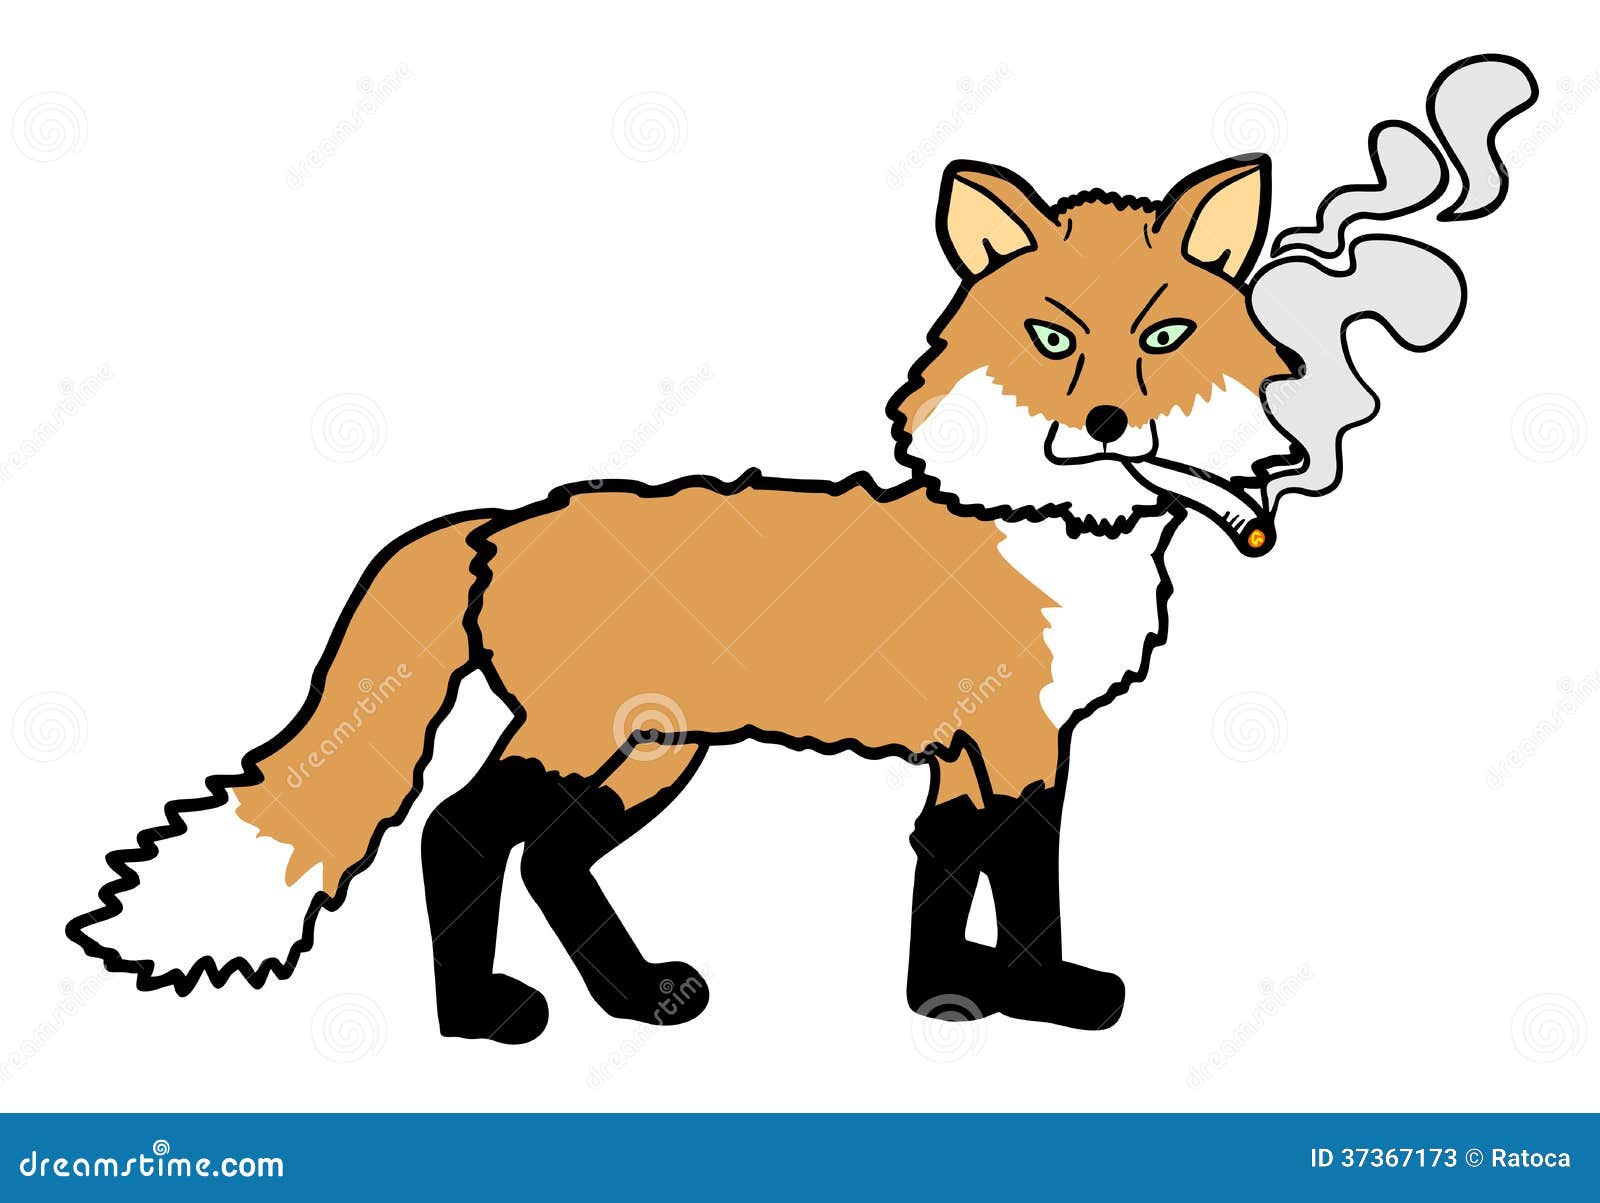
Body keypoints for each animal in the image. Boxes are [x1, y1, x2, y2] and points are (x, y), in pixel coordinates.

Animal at [69, 153, 1305, 1043]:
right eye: (1052, 338)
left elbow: (942, 861)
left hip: (654, 753)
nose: (1106, 423)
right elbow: (1027, 874)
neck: (1041, 530)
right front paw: (1046, 994)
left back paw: (634, 997)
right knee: (458, 832)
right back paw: (480, 1019)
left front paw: (944, 996)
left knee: (549, 859)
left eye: (1165, 336)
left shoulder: (973, 745)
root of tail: (497, 522)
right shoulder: (1015, 734)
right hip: (580, 738)